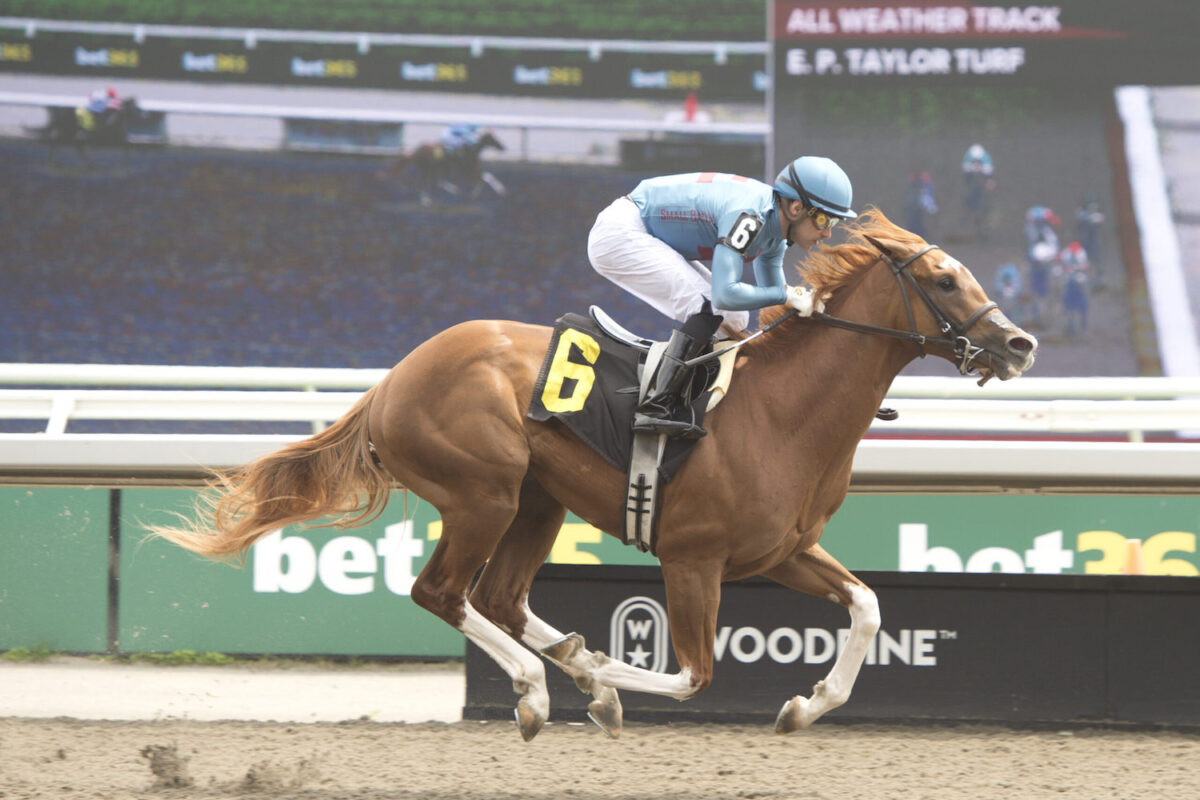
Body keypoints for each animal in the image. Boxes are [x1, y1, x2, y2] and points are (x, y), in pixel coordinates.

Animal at [149, 208, 1037, 741]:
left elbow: (867, 605)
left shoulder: (779, 551)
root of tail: (395, 379)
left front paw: (804, 704)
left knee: (500, 597)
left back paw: (565, 672)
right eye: (946, 278)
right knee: (445, 593)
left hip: (536, 501)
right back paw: (540, 689)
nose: (1020, 343)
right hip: (483, 492)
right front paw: (598, 674)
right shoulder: (693, 558)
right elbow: (692, 674)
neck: (783, 411)